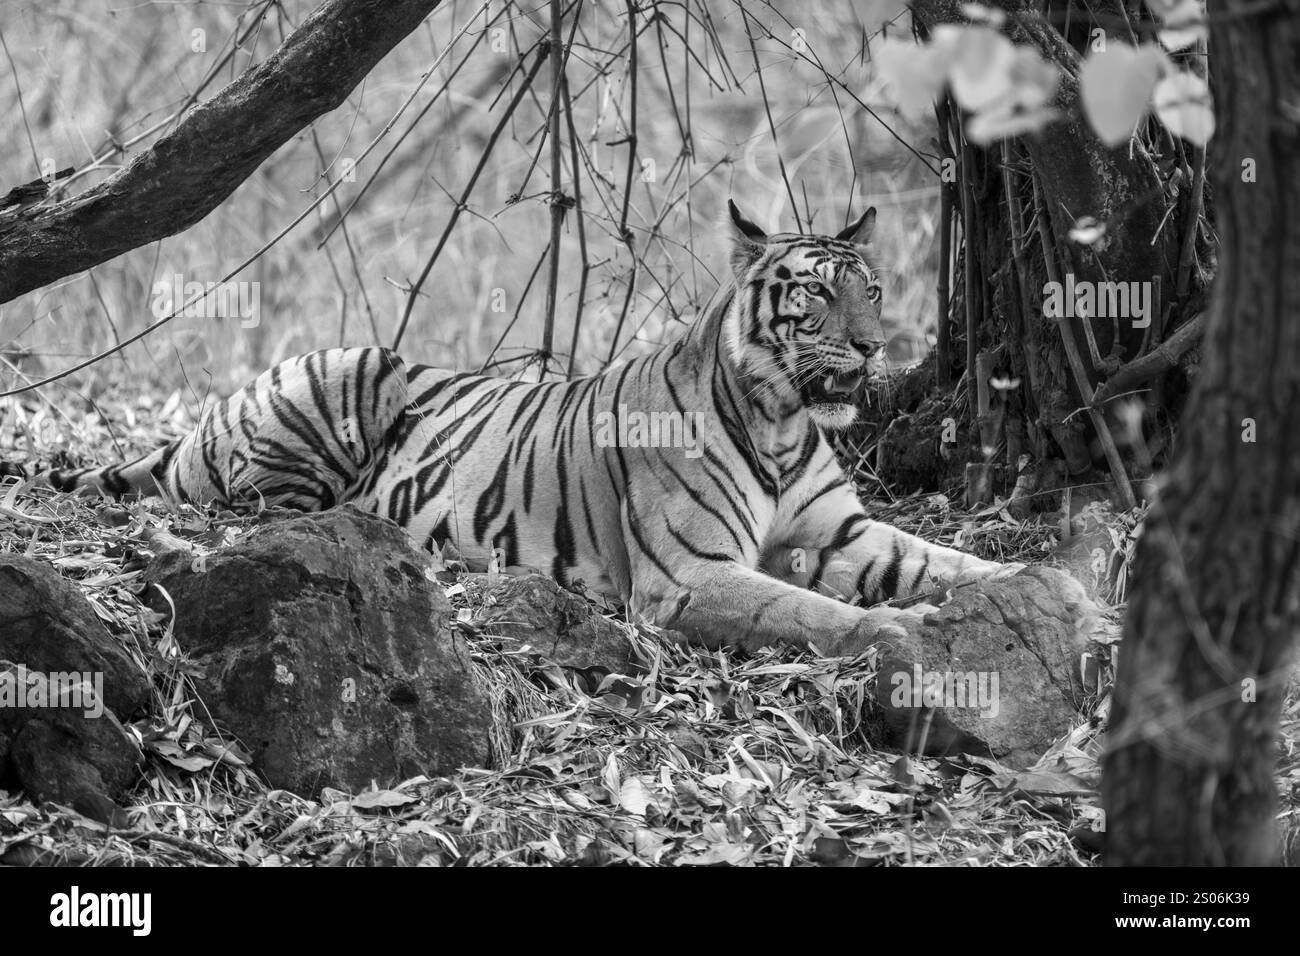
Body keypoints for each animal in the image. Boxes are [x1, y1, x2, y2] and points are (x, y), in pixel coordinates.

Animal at [33, 201, 1022, 656]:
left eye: (874, 289)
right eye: (815, 293)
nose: (873, 344)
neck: (783, 421)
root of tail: (223, 406)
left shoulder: (843, 531)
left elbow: (942, 559)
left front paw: (1031, 588)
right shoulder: (691, 576)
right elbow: (815, 610)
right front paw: (899, 632)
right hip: (340, 381)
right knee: (259, 507)